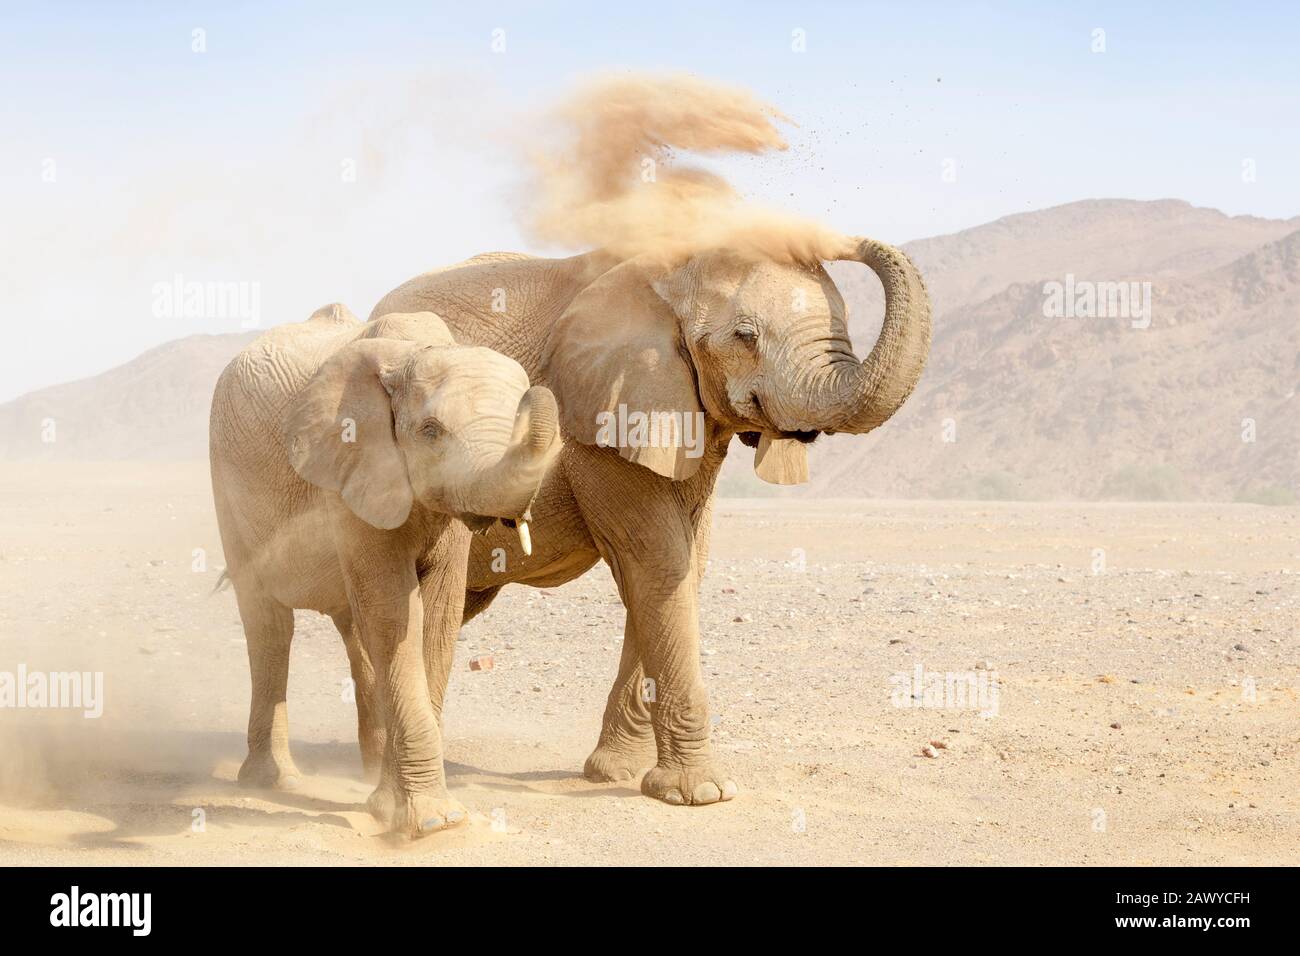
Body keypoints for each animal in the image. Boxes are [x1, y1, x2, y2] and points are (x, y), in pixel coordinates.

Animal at [208, 303, 562, 835]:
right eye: (431, 430)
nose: (539, 392)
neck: (415, 352)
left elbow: (436, 617)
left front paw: (403, 812)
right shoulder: (354, 461)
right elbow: (395, 610)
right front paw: (431, 822)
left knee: (355, 631)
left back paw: (369, 776)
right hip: (225, 479)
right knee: (270, 624)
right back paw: (273, 782)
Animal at [368, 237, 931, 807]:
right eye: (745, 336)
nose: (841, 240)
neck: (669, 276)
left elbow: (683, 566)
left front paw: (615, 773)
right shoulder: (601, 420)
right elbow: (657, 560)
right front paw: (702, 794)